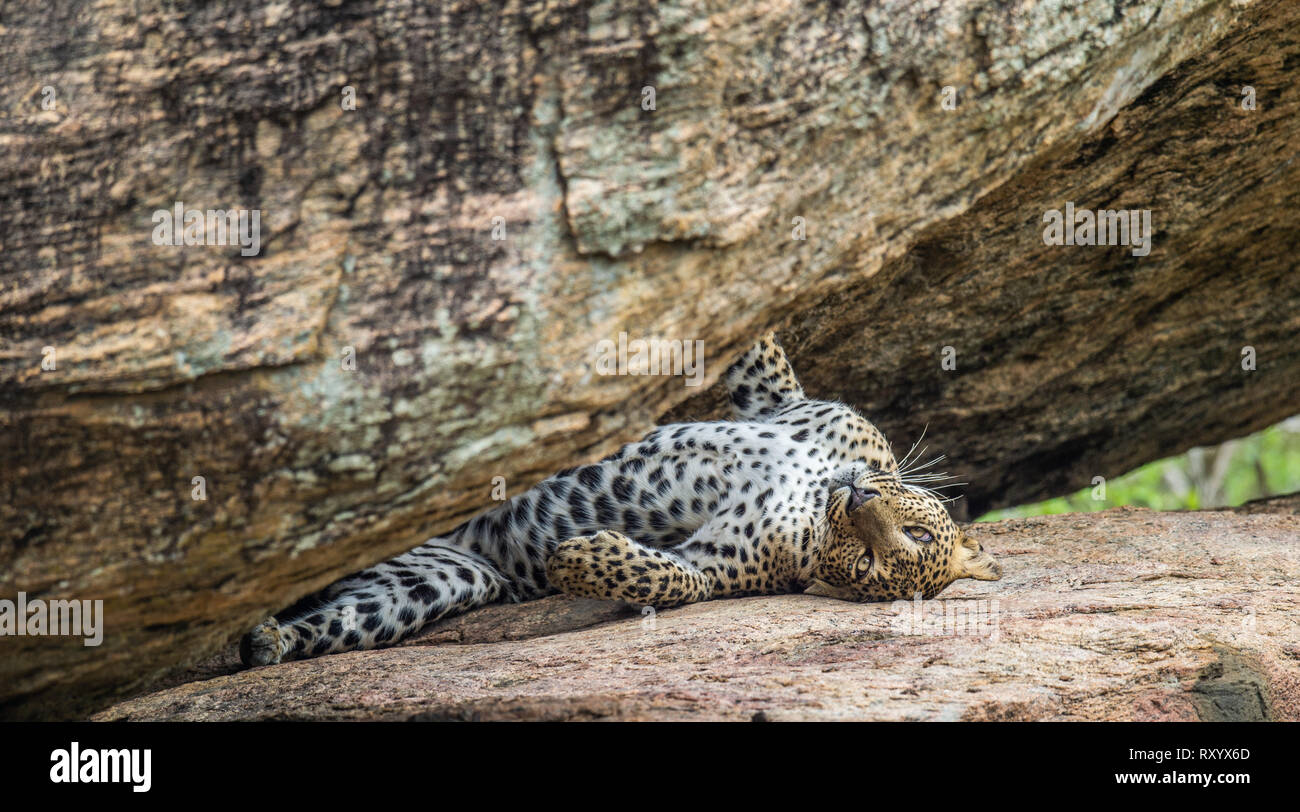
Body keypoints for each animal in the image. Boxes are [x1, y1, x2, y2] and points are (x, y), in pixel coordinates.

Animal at [240, 332, 1001, 666]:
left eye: (869, 569)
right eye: (919, 534)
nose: (854, 500)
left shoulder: (716, 565)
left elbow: (669, 579)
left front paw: (572, 558)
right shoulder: (781, 403)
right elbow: (760, 348)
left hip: (438, 582)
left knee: (347, 615)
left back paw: (266, 640)